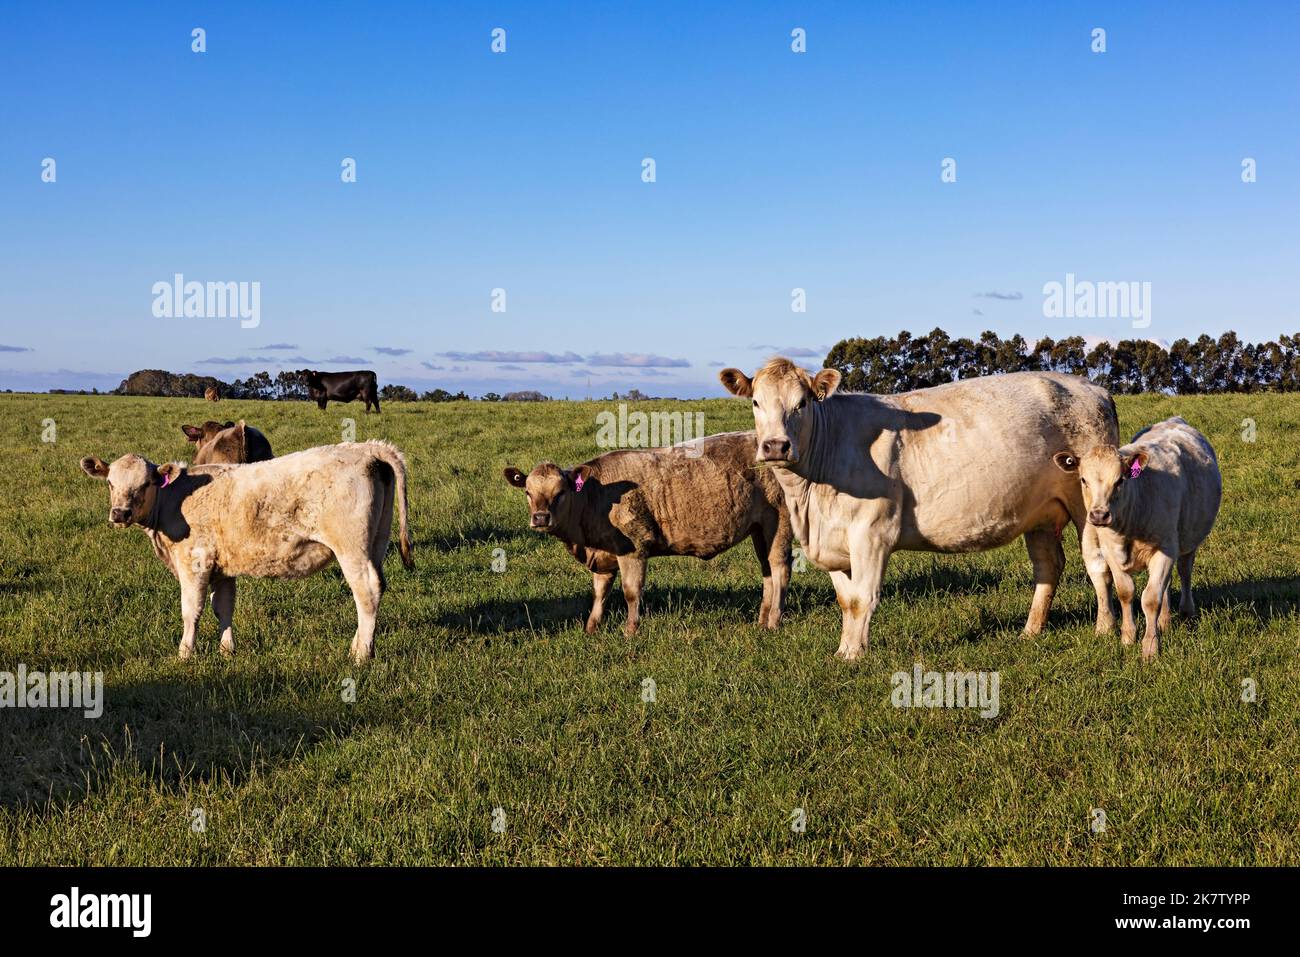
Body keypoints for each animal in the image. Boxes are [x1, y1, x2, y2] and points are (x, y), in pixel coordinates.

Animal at [80, 441, 413, 663]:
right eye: (110, 483)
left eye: (147, 483)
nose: (120, 513)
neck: (173, 500)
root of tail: (366, 448)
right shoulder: (222, 566)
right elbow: (223, 607)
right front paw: (227, 650)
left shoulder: (194, 562)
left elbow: (191, 610)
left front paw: (185, 653)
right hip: (376, 543)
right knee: (374, 589)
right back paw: (357, 646)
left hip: (351, 548)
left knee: (366, 592)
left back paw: (361, 655)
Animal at [503, 431, 792, 635]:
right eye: (528, 492)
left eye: (561, 492)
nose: (541, 517)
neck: (595, 497)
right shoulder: (603, 556)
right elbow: (600, 593)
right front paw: (591, 628)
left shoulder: (633, 549)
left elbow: (631, 592)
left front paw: (631, 630)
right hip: (760, 530)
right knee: (767, 572)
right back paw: (761, 620)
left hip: (779, 523)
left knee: (780, 570)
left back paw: (774, 621)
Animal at [720, 358, 1120, 660]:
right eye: (756, 403)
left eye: (801, 403)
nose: (776, 445)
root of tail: (1094, 388)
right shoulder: (829, 539)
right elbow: (846, 599)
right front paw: (845, 649)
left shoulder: (872, 531)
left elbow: (862, 598)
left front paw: (854, 655)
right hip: (1041, 511)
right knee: (1048, 566)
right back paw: (1031, 630)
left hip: (1087, 505)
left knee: (1098, 563)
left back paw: (1105, 628)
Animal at [1052, 417, 1221, 660]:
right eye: (1083, 480)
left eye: (1120, 480)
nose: (1099, 515)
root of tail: (1174, 420)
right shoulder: (1111, 552)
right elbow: (1126, 592)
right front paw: (1128, 637)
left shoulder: (1165, 549)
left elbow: (1150, 599)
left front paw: (1150, 647)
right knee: (1166, 584)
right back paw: (1164, 622)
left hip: (1188, 538)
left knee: (1184, 571)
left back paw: (1186, 611)